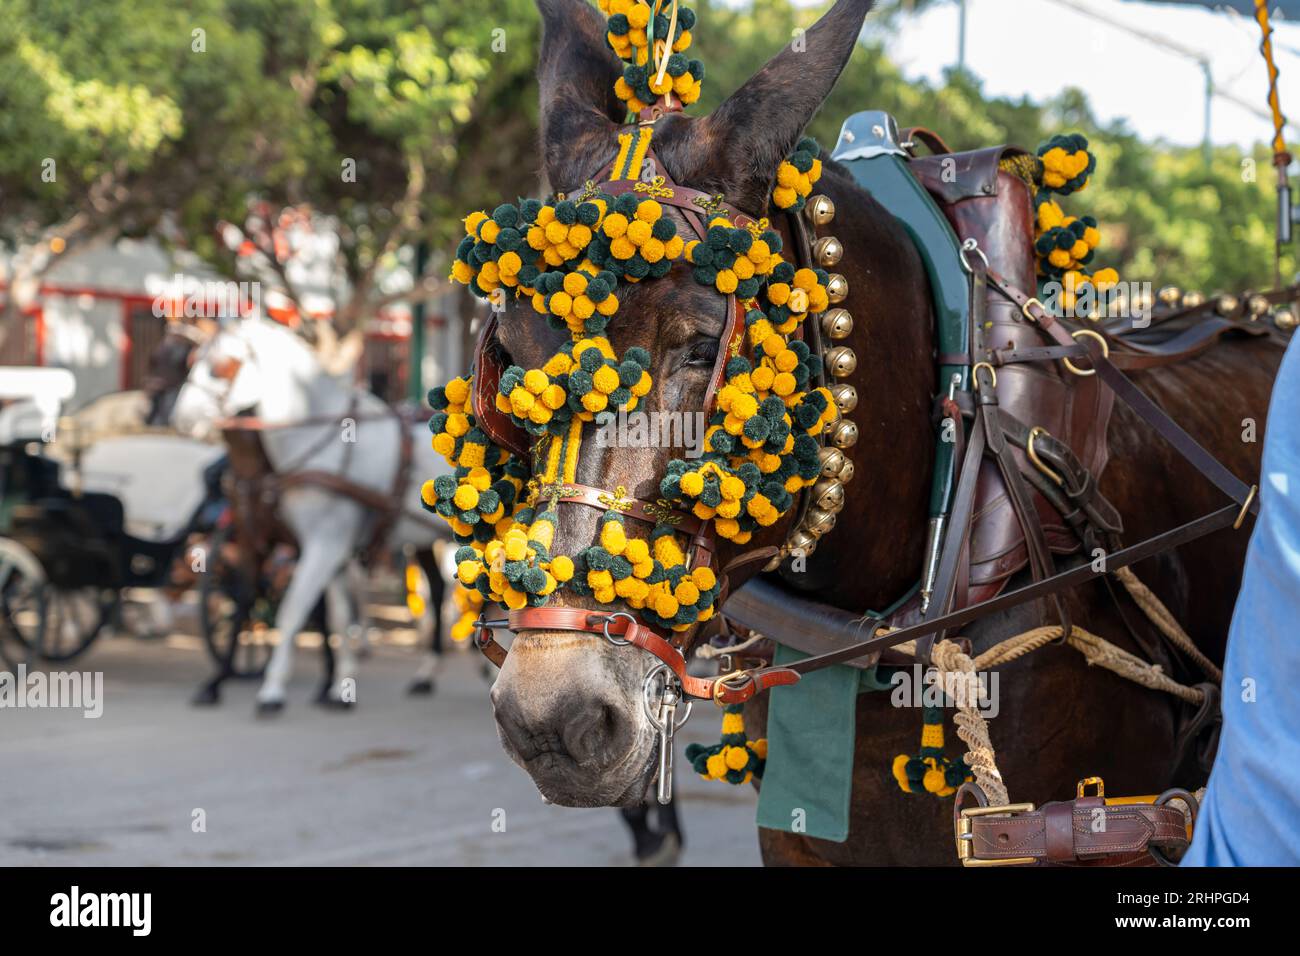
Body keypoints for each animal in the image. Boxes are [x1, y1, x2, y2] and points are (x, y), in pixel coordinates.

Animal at [172, 319, 449, 712]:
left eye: (222, 367)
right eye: (191, 359)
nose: (178, 420)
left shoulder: (324, 546)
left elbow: (293, 609)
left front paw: (273, 689)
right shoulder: (321, 547)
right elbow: (336, 615)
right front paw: (339, 686)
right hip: (423, 537)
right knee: (439, 590)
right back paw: (426, 675)